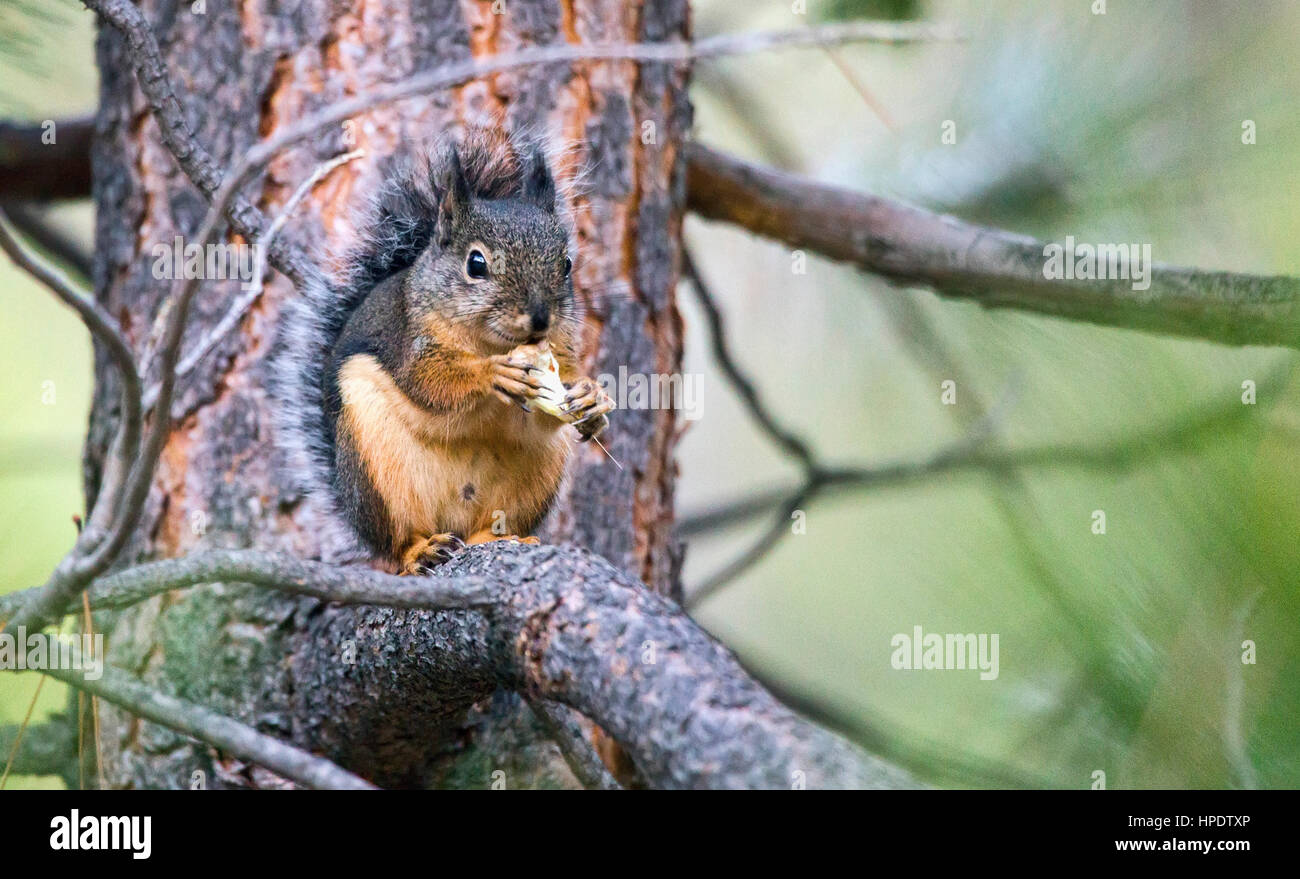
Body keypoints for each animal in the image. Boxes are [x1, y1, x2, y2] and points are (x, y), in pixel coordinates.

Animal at [276, 128, 613, 574]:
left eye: (568, 263)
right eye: (476, 264)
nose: (540, 318)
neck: (491, 343)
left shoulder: (559, 348)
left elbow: (549, 408)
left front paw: (592, 398)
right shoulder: (410, 340)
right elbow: (430, 383)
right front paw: (493, 373)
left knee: (489, 527)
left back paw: (500, 537)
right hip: (376, 472)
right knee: (397, 541)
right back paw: (419, 551)